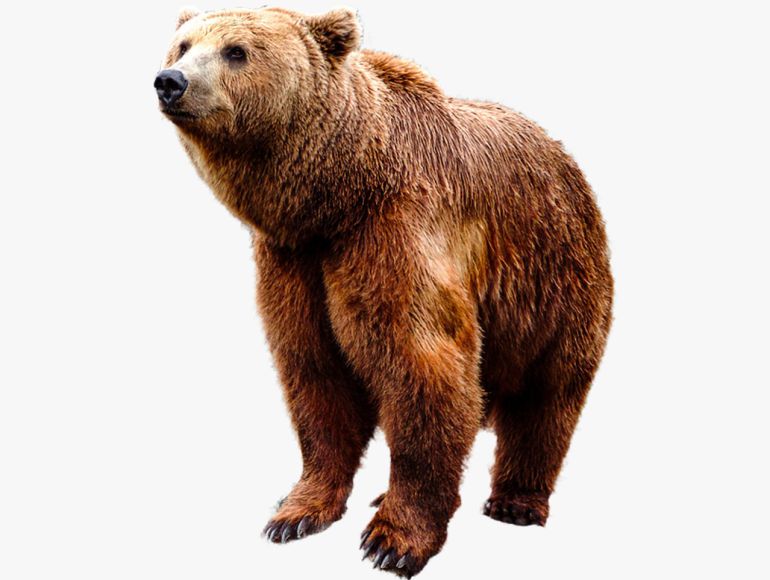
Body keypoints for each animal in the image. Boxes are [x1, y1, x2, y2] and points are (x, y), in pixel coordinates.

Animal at [155, 6, 613, 577]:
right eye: (183, 45)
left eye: (235, 51)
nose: (170, 81)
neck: (335, 196)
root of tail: (564, 155)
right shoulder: (294, 261)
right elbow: (315, 370)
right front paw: (295, 513)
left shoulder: (394, 233)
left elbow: (423, 364)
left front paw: (392, 540)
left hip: (553, 277)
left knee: (547, 393)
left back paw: (516, 501)